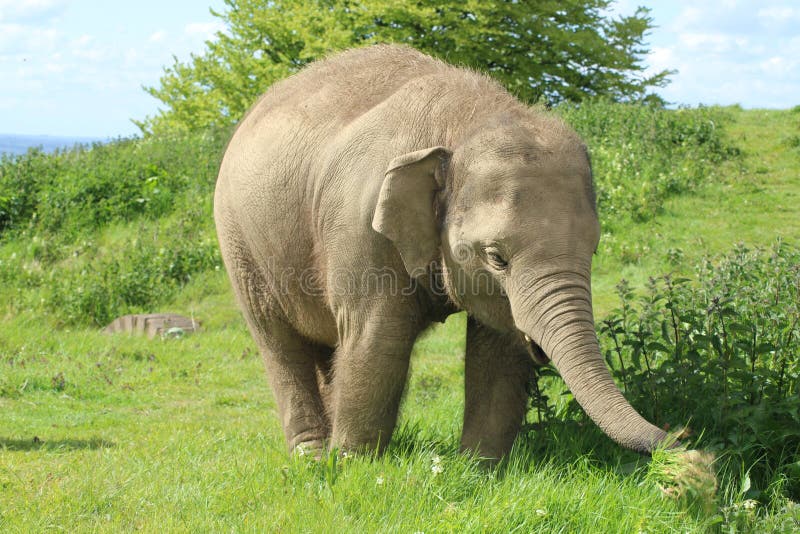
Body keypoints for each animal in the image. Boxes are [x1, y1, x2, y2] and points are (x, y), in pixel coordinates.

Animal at [214, 44, 672, 459]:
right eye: (497, 258)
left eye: (594, 250)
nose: (679, 439)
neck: (465, 121)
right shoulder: (359, 228)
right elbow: (375, 338)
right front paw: (351, 466)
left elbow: (498, 346)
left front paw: (477, 469)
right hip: (238, 242)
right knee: (278, 342)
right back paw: (311, 457)